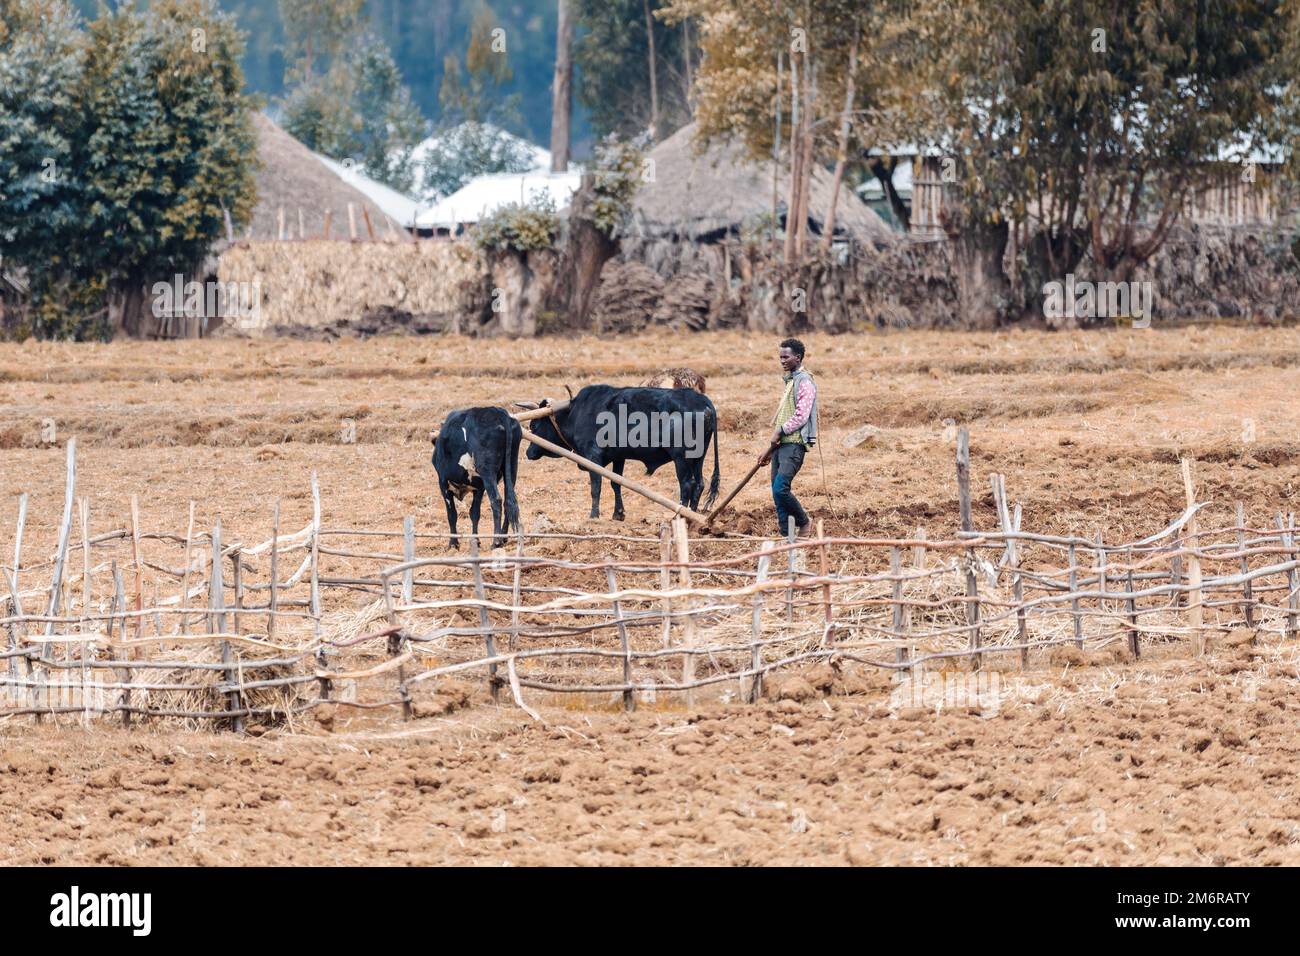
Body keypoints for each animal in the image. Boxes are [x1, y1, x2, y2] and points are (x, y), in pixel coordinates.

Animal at [430, 407, 521, 550]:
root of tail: (498, 412)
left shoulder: (443, 483)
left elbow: (452, 514)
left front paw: (453, 543)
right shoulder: (479, 488)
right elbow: (474, 513)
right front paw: (475, 540)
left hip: (488, 472)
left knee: (496, 500)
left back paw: (496, 541)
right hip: (512, 468)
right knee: (509, 501)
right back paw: (504, 537)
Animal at [517, 385, 720, 520]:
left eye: (534, 426)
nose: (528, 453)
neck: (576, 412)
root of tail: (702, 400)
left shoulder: (593, 456)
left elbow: (596, 486)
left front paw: (594, 515)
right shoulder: (618, 458)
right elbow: (616, 483)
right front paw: (618, 513)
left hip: (681, 458)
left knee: (687, 484)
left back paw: (680, 516)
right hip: (698, 458)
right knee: (699, 484)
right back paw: (692, 516)